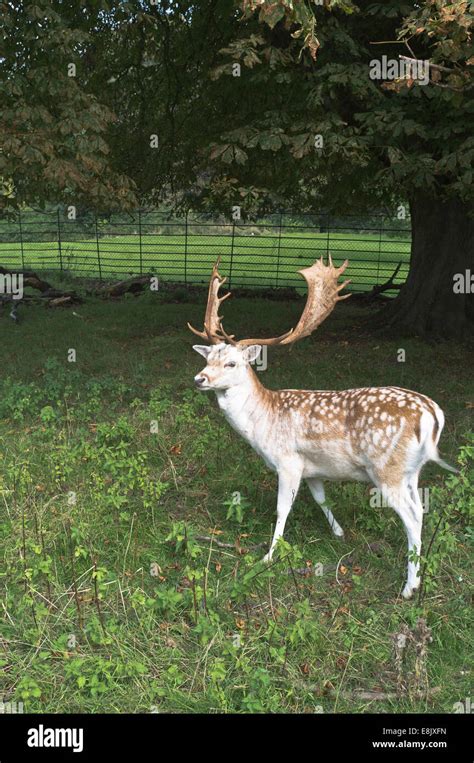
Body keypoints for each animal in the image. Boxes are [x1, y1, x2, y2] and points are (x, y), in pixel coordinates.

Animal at [189, 257, 456, 599]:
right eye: (209, 358)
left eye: (231, 363)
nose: (200, 378)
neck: (263, 421)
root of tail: (433, 412)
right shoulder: (312, 468)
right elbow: (321, 499)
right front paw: (339, 533)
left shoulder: (288, 462)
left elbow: (282, 510)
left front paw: (269, 556)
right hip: (411, 470)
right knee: (421, 510)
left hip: (388, 468)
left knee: (411, 516)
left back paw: (410, 586)